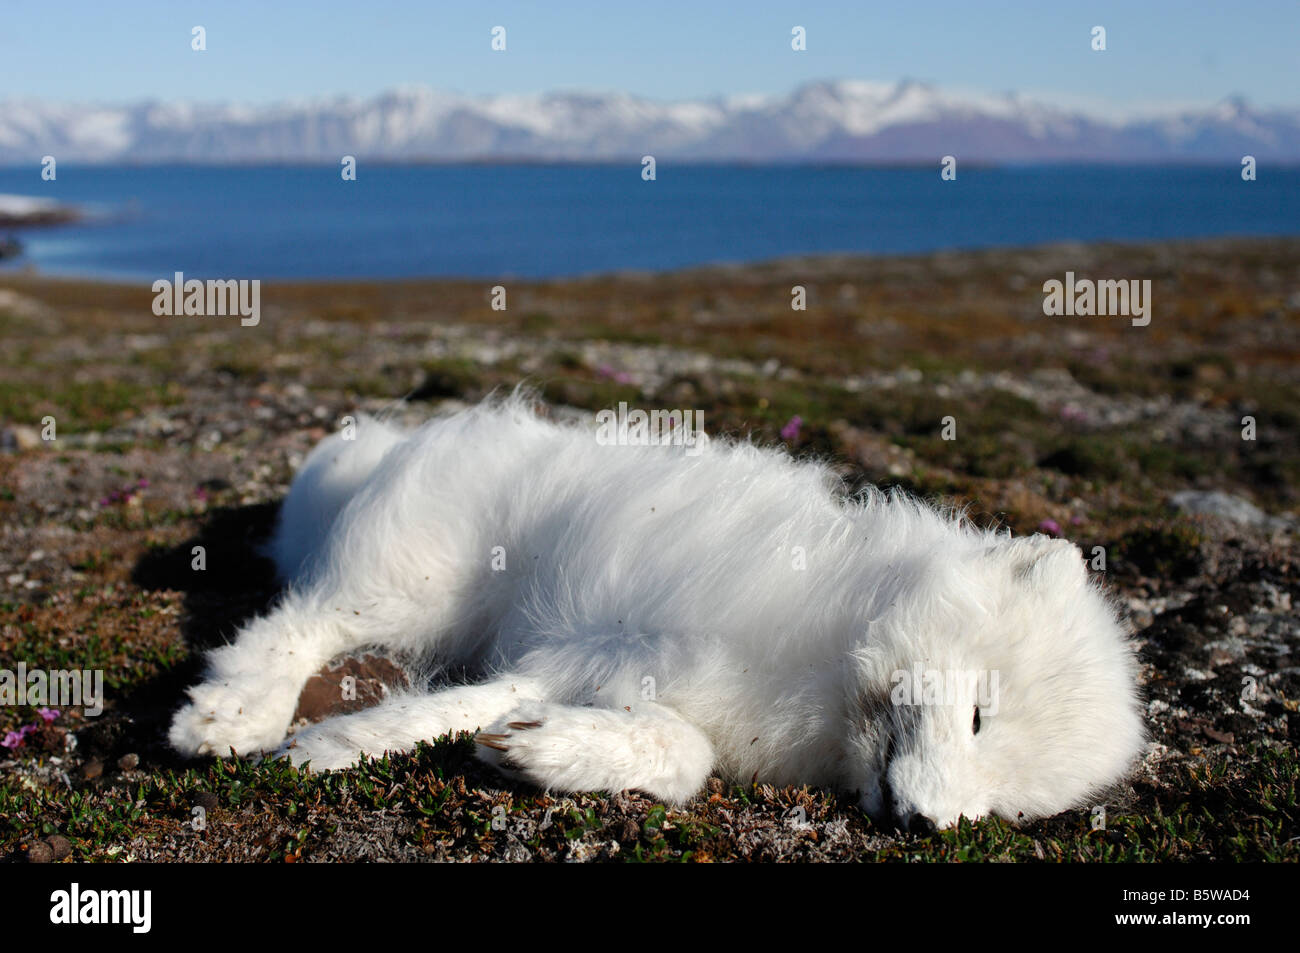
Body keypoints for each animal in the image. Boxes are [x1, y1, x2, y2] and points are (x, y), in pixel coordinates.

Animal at [170, 392, 1146, 831]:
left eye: (1006, 809)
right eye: (978, 714)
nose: (926, 822)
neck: (830, 667)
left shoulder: (642, 681)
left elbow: (681, 752)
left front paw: (541, 750)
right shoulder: (606, 640)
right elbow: (466, 702)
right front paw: (335, 749)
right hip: (415, 584)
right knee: (297, 624)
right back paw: (232, 717)